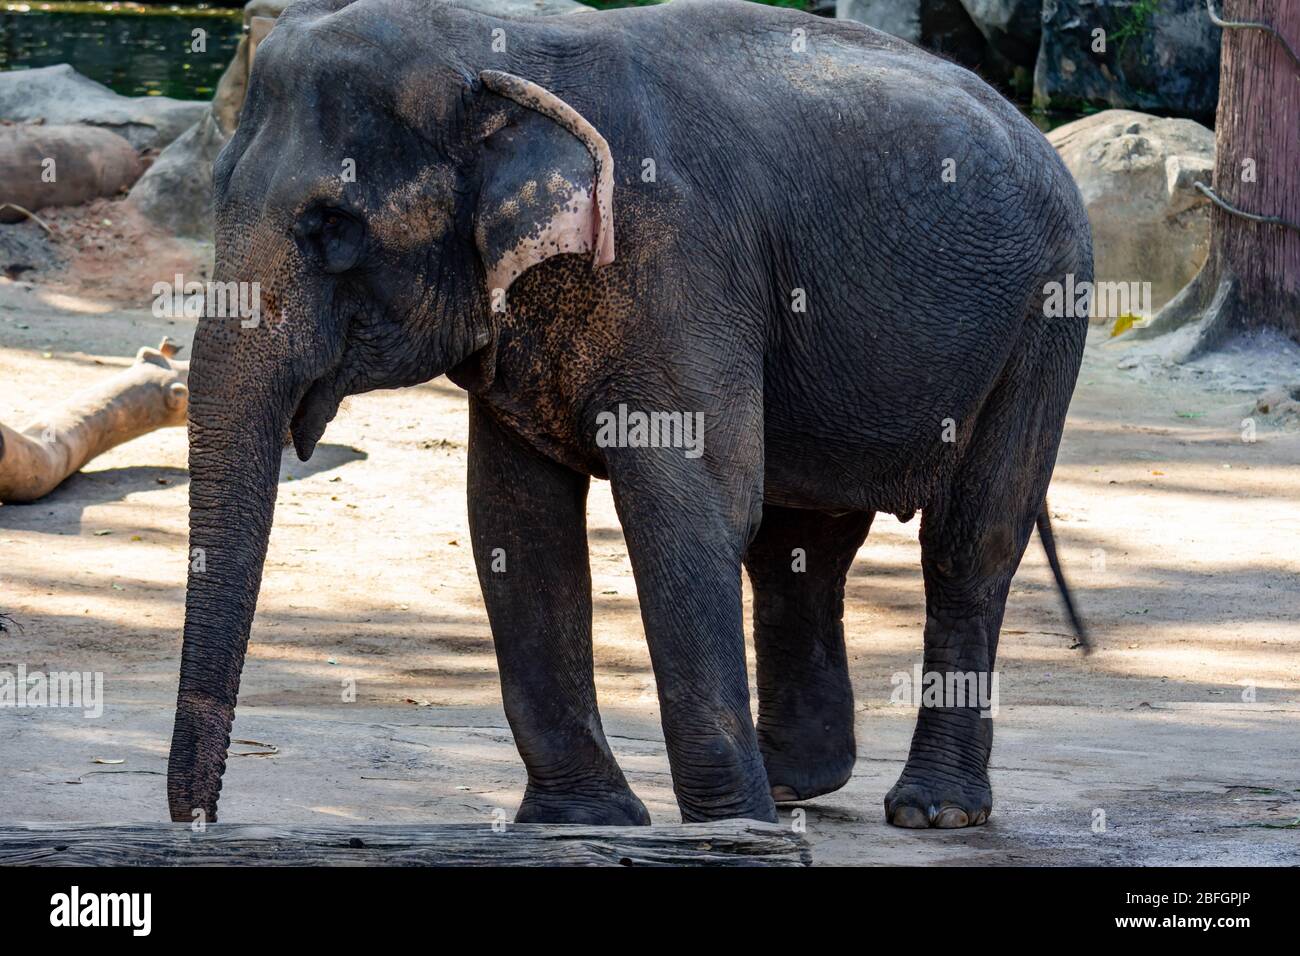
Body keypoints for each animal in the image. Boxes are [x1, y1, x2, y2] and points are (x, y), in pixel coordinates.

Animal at [167, 0, 1093, 829]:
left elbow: (685, 508)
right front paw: (583, 821)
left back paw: (929, 810)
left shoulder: (682, 266)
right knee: (800, 546)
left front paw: (733, 832)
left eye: (332, 227)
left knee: (971, 542)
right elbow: (514, 521)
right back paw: (798, 783)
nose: (198, 822)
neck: (495, 43)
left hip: (1045, 319)